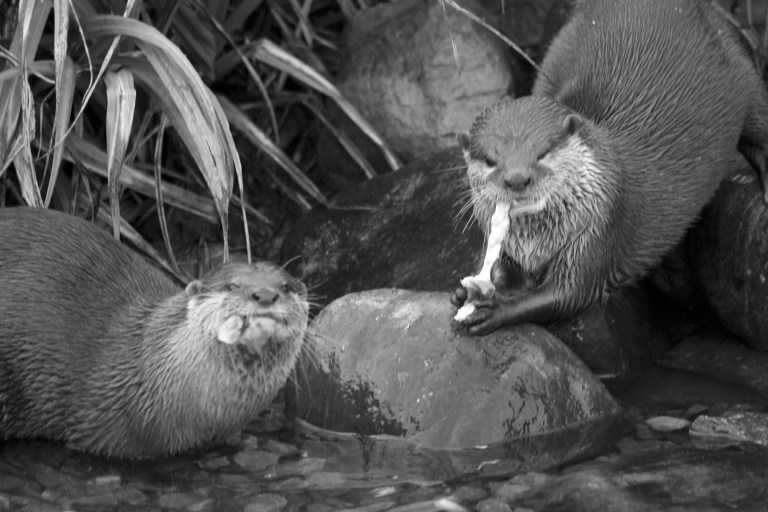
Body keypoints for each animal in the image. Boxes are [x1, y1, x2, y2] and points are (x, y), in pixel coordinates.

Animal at [452, 0, 768, 334]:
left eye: (544, 152)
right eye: (490, 160)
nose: (516, 178)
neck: (537, 243)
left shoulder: (600, 228)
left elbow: (570, 293)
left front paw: (494, 308)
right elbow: (516, 278)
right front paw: (472, 289)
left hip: (741, 67)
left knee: (759, 124)